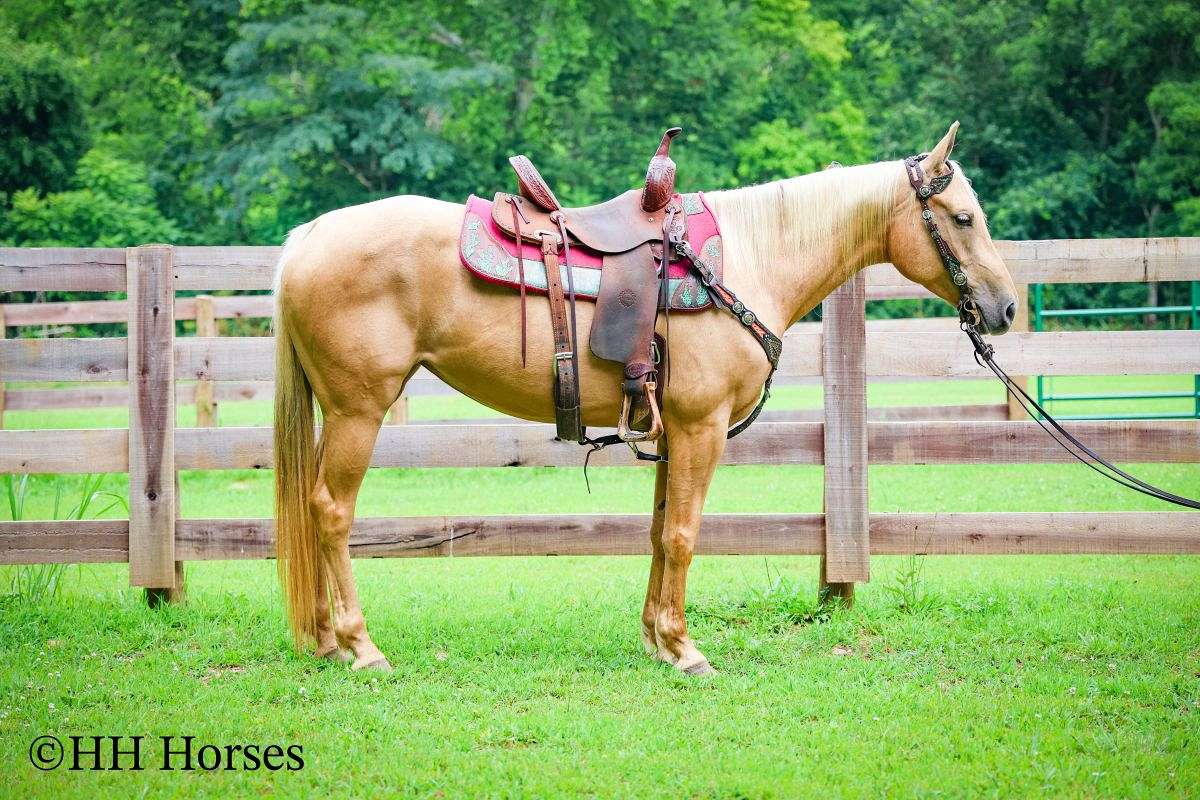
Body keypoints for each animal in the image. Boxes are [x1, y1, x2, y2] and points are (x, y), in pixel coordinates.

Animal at [272, 121, 1018, 675]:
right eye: (963, 217)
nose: (1005, 308)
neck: (748, 257)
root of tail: (310, 237)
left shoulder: (669, 430)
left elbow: (661, 533)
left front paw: (658, 640)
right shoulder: (700, 427)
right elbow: (685, 535)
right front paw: (685, 650)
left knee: (312, 509)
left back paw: (329, 641)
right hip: (358, 411)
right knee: (331, 512)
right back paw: (361, 646)